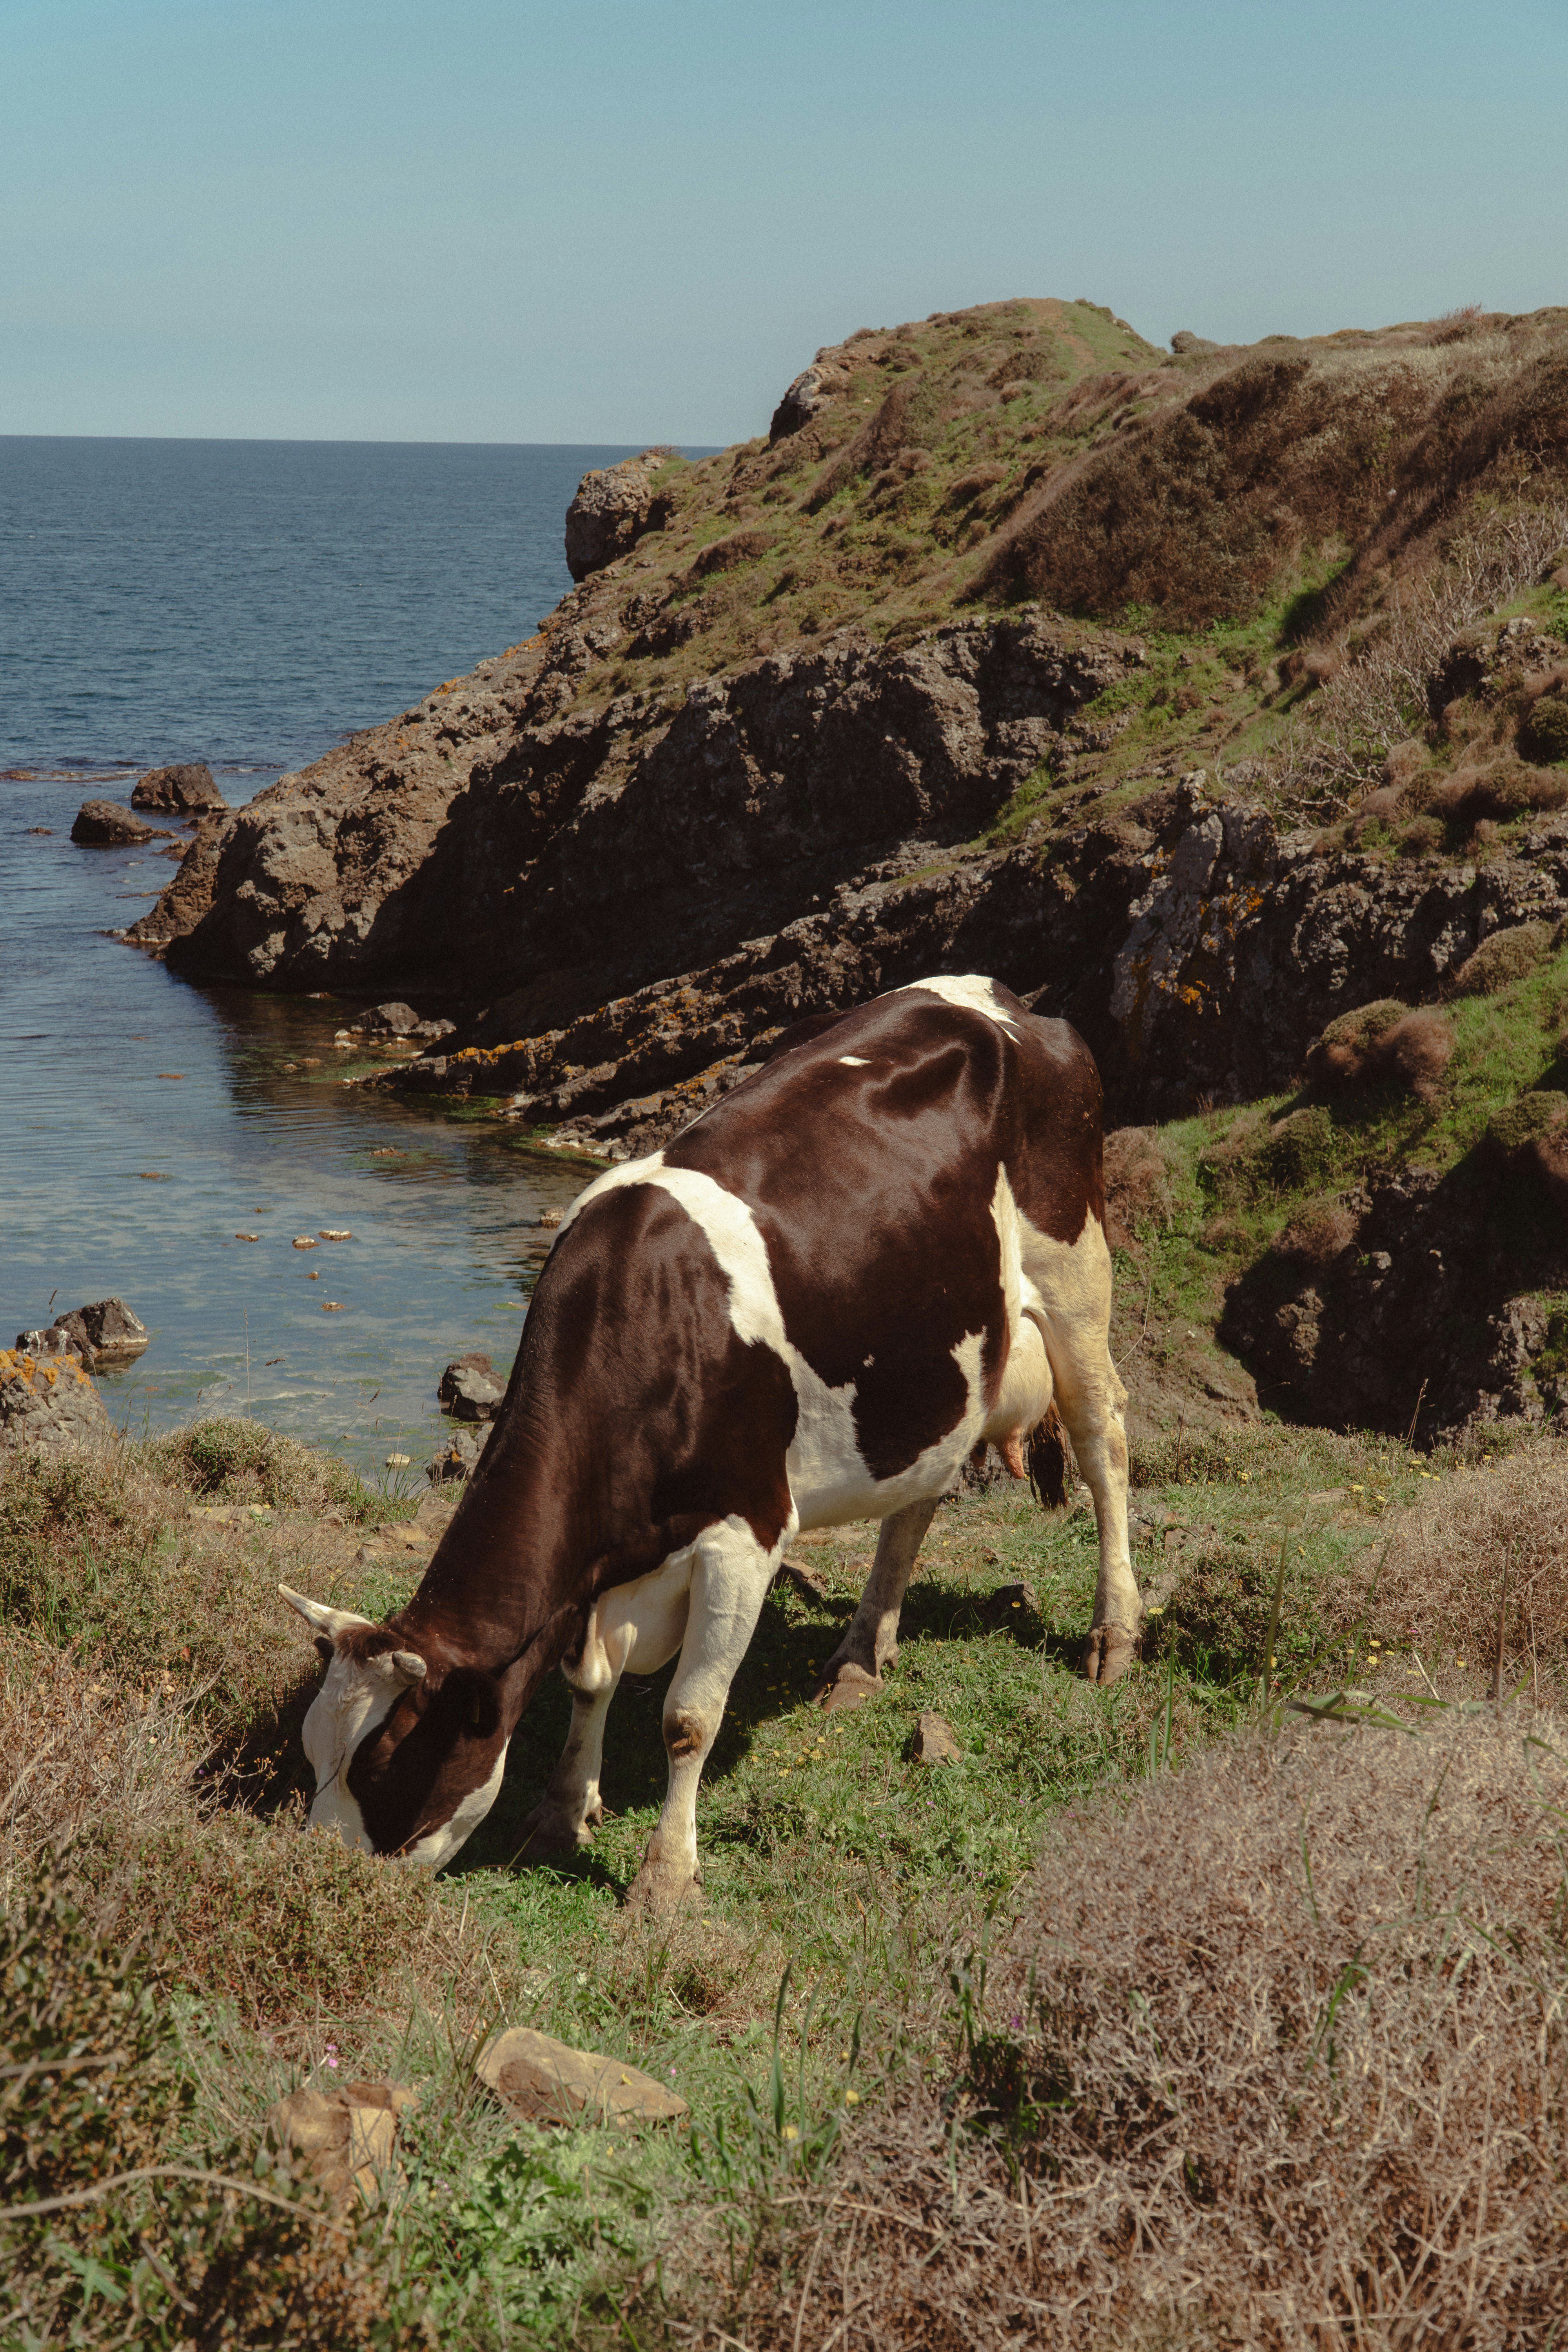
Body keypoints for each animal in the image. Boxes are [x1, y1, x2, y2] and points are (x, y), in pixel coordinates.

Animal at [280, 975, 1138, 1911]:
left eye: (384, 1767)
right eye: (313, 1755)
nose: (317, 1884)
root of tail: (1000, 997)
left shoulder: (746, 1531)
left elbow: (688, 1717)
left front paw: (663, 1878)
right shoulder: (600, 1569)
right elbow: (590, 1683)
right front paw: (562, 1813)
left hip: (1076, 1276)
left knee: (1104, 1443)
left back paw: (1114, 1635)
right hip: (935, 1366)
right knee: (915, 1500)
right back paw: (860, 1653)